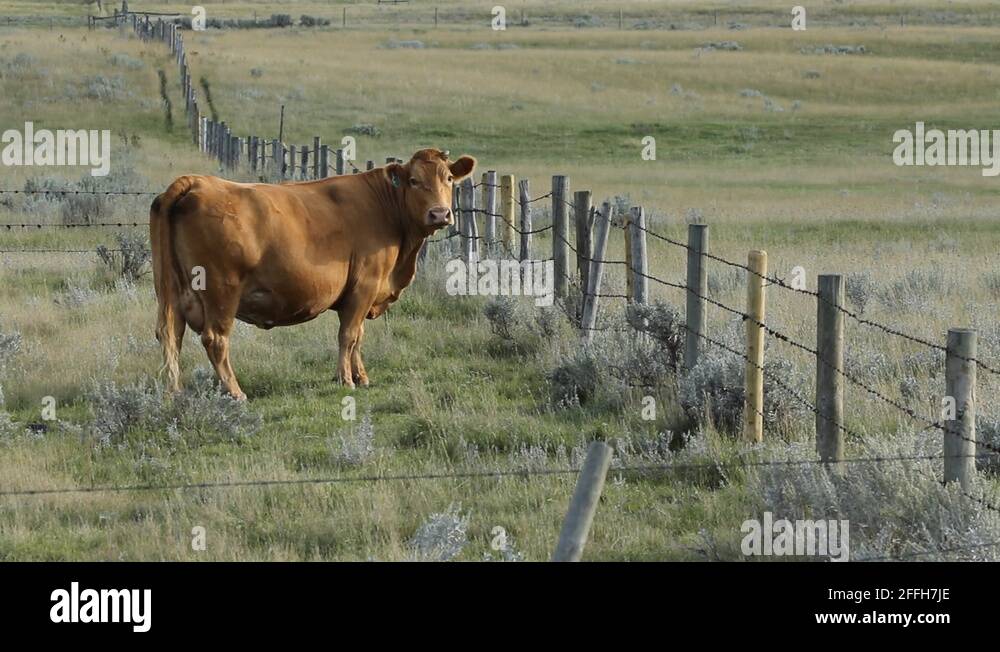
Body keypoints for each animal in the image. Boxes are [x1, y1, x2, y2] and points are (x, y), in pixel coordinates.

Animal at [149, 148, 476, 399]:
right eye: (414, 180)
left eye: (448, 179)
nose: (440, 213)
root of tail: (194, 182)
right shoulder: (364, 286)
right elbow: (348, 335)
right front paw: (346, 380)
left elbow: (358, 336)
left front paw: (361, 376)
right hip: (221, 291)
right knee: (215, 339)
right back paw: (235, 392)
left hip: (170, 291)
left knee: (170, 335)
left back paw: (174, 391)